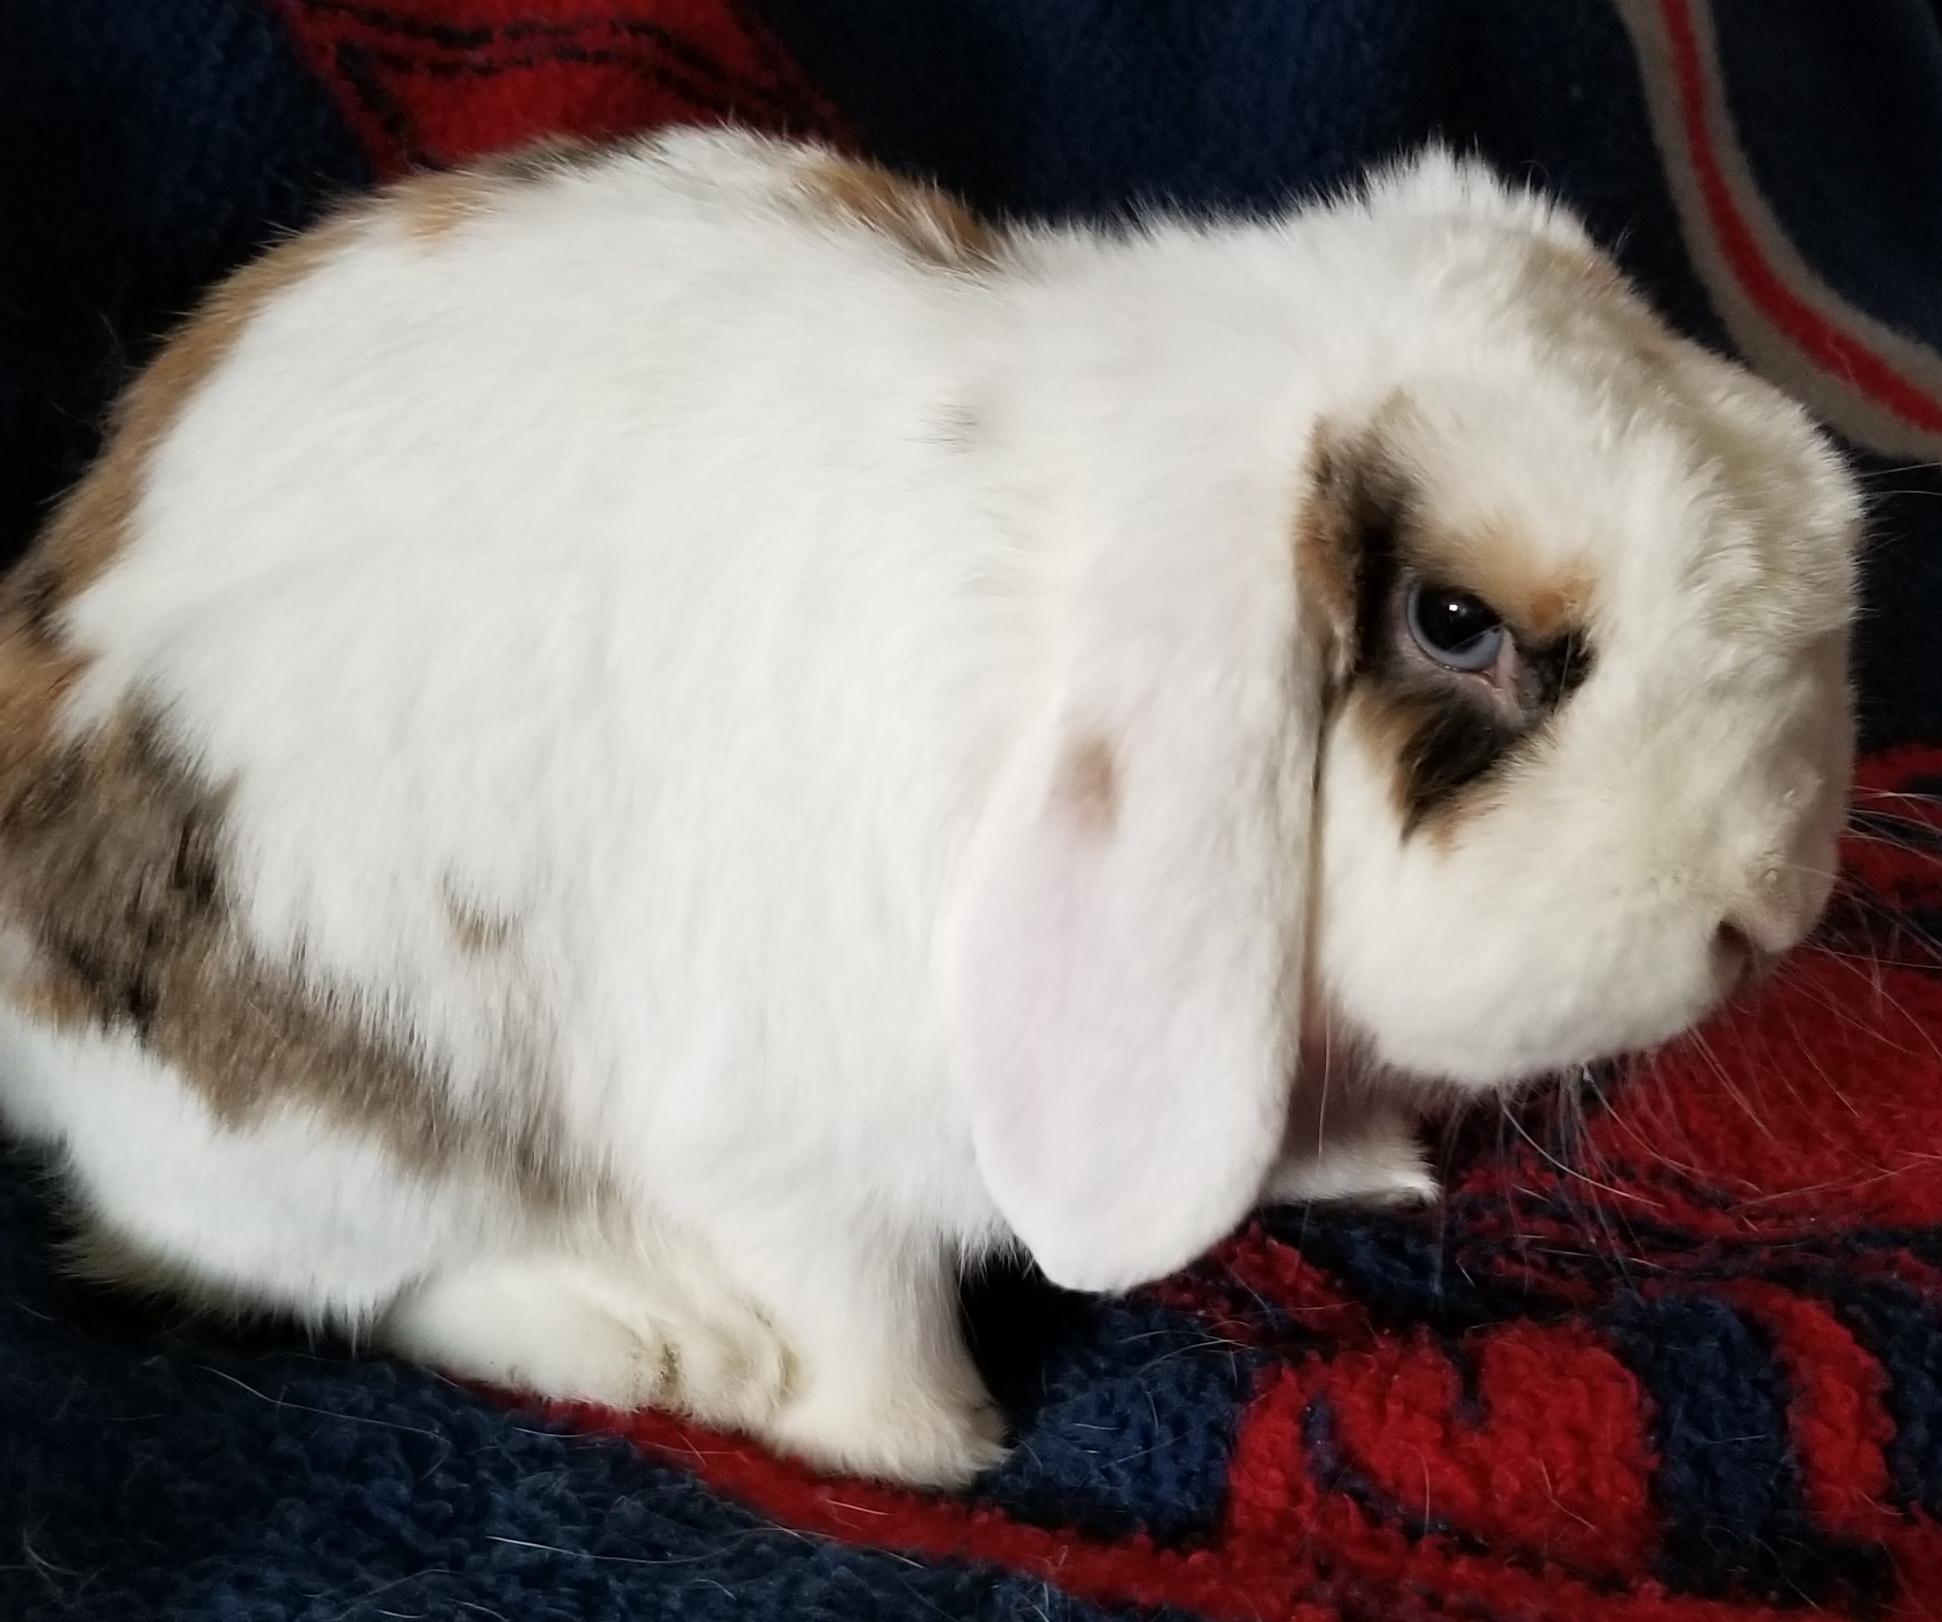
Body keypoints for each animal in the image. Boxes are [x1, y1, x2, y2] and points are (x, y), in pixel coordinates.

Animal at [0, 126, 1859, 1487]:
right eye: (1456, 624)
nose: (1768, 909)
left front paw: (1361, 1166)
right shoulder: (777, 1132)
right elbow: (858, 1287)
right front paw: (919, 1450)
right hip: (330, 1083)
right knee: (330, 1273)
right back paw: (663, 1339)